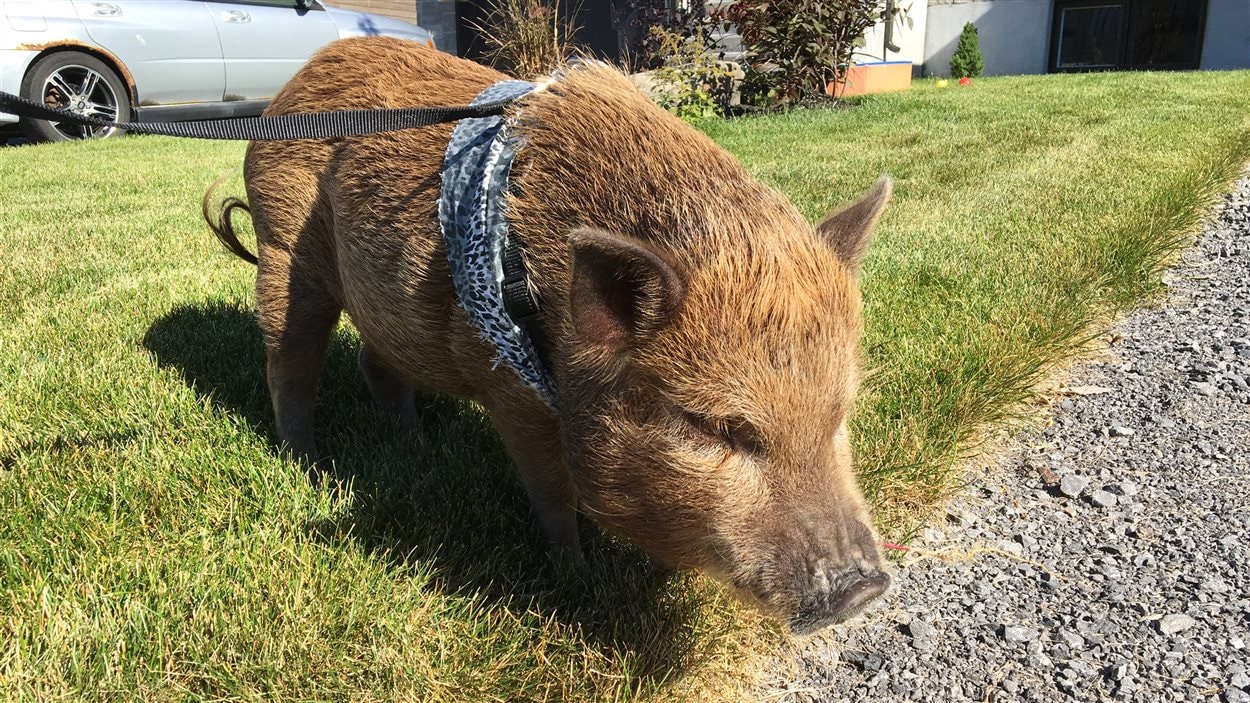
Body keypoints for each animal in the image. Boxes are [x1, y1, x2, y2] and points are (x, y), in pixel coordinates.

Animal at [203, 36, 892, 634]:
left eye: (838, 416)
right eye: (715, 428)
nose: (864, 591)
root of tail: (293, 85)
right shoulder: (508, 388)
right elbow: (552, 490)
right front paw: (576, 579)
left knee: (379, 366)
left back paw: (418, 450)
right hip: (281, 243)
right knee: (288, 360)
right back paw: (310, 466)